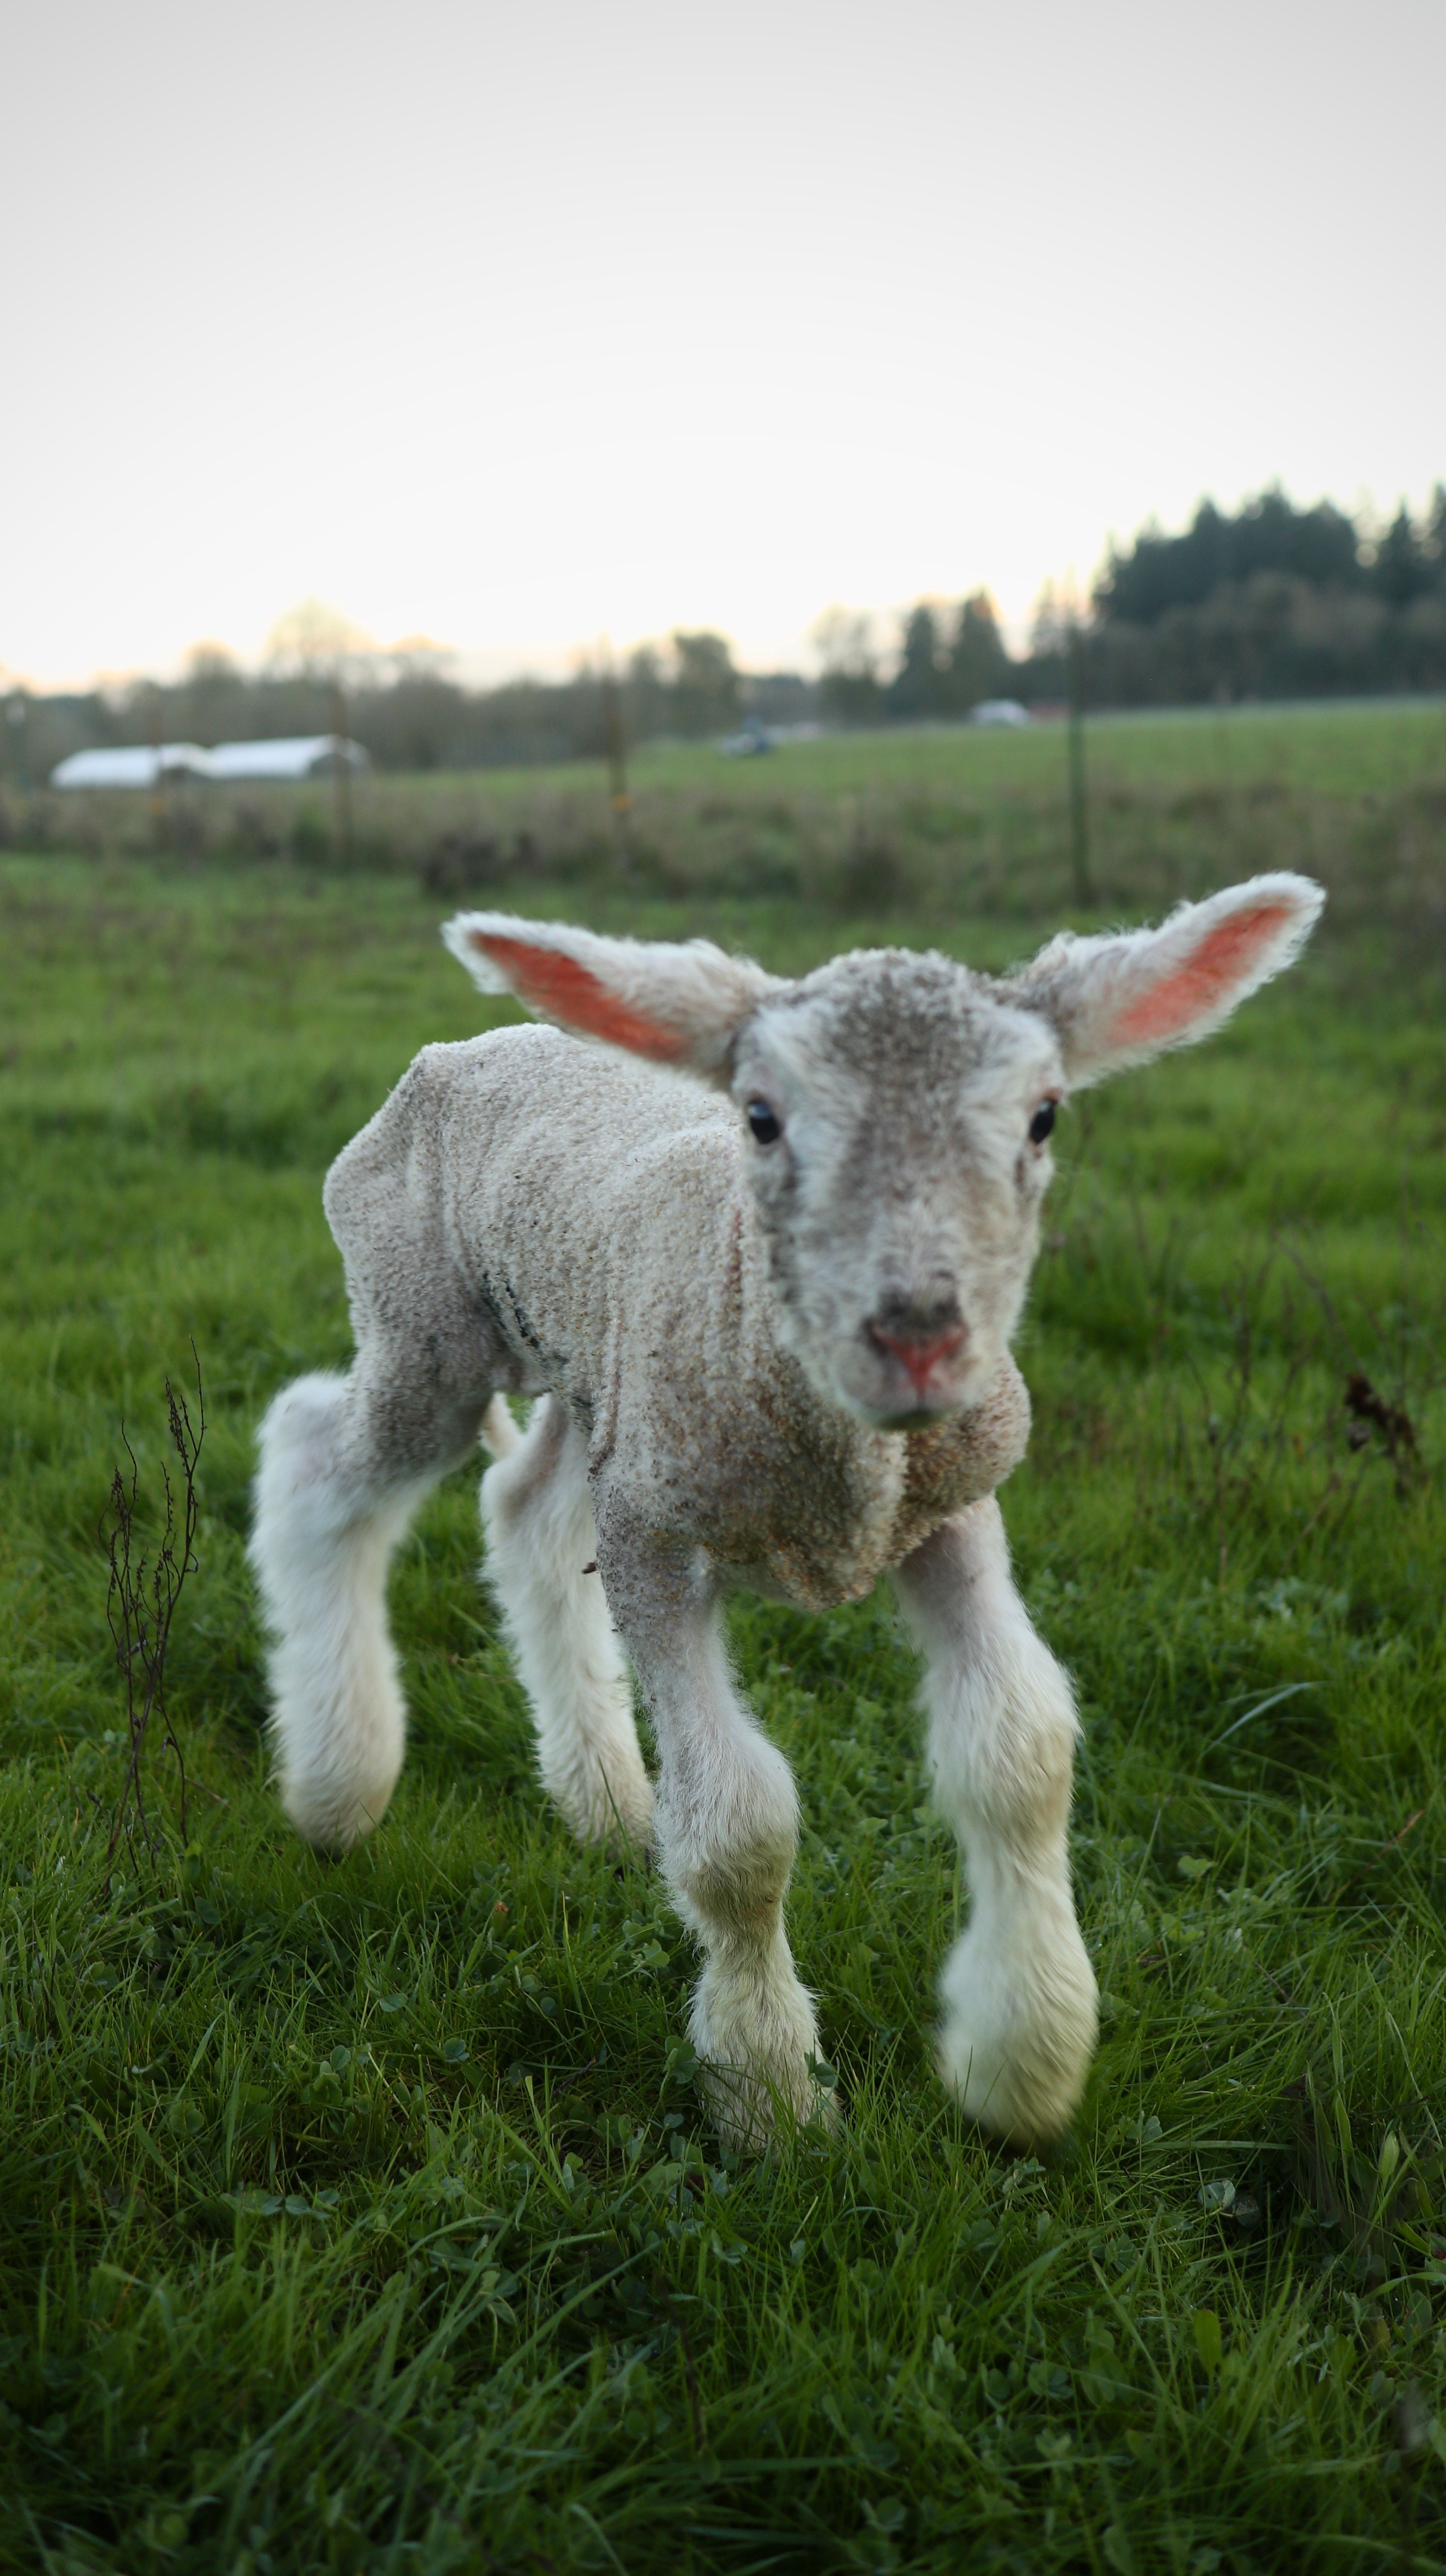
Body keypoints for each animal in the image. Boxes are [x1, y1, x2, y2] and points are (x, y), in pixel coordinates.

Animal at [249, 872, 1323, 2149]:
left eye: (1044, 1118)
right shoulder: (657, 1532)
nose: (919, 1333)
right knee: (317, 1463)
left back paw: (606, 1803)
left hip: (601, 1376)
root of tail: (487, 1039)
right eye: (760, 1118)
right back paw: (337, 1786)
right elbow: (739, 1834)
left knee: (526, 1509)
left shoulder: (950, 1506)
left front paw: (1027, 2060)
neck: (840, 1461)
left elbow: (1020, 1755)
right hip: (428, 1327)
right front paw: (771, 2097)